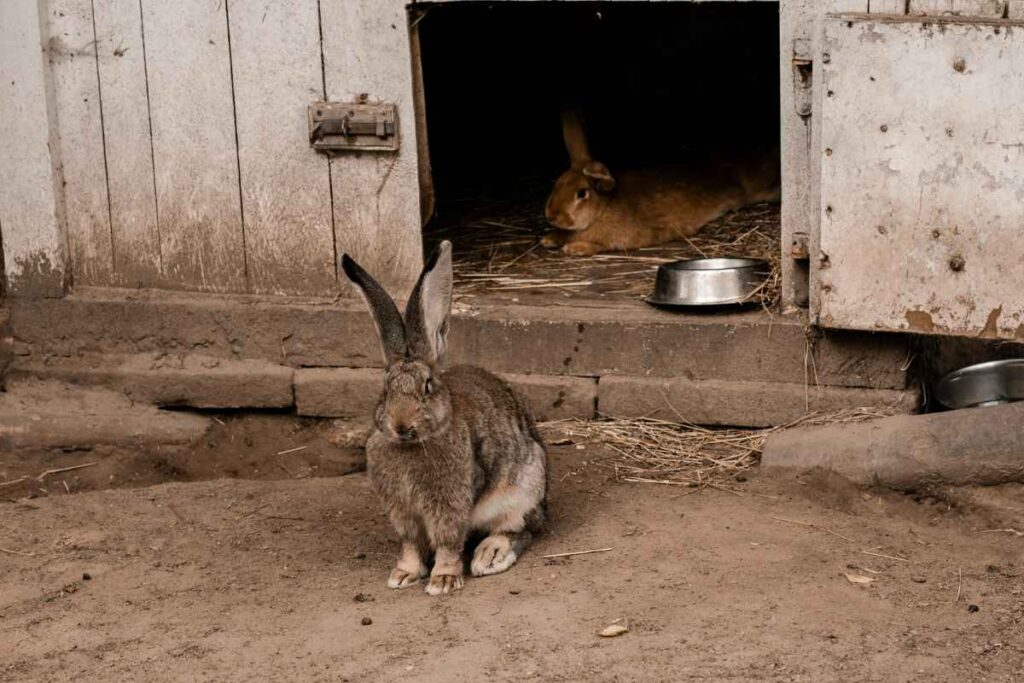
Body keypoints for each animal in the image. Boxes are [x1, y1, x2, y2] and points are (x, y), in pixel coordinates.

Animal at [341, 241, 548, 596]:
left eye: (428, 386)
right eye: (386, 389)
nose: (400, 425)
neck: (414, 445)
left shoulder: (449, 506)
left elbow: (448, 542)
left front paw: (444, 580)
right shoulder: (403, 512)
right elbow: (410, 543)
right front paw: (403, 574)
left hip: (523, 489)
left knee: (521, 529)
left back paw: (490, 555)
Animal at [543, 110, 781, 256]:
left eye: (581, 193)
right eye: (557, 184)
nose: (551, 216)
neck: (602, 209)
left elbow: (601, 245)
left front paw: (575, 248)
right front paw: (549, 239)